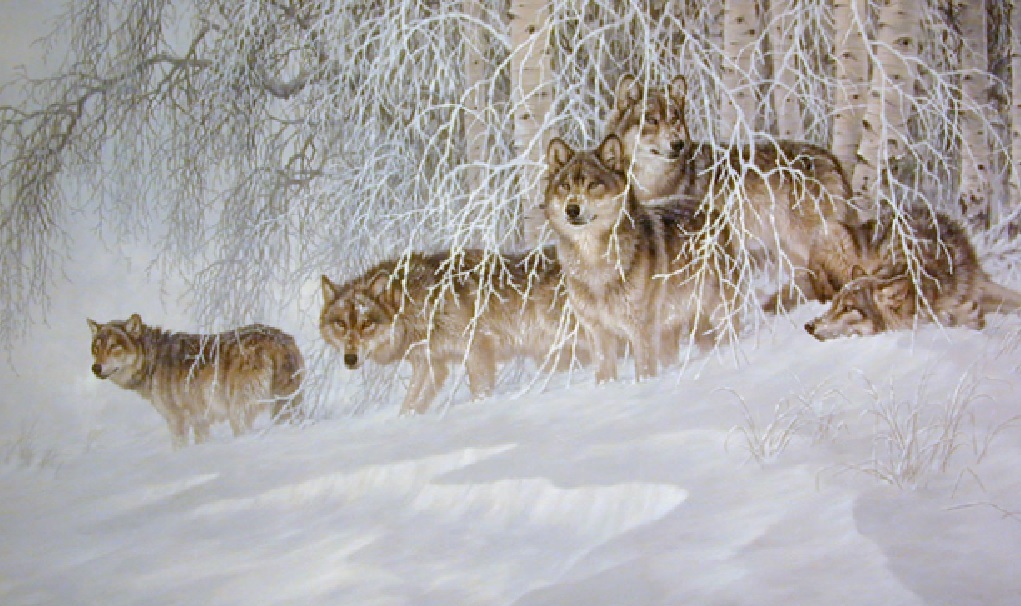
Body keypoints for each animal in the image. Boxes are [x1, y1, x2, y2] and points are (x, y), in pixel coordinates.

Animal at [88, 314, 304, 448]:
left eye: (114, 347)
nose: (95, 368)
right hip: (288, 405)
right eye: (96, 348)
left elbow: (179, 447)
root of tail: (279, 341)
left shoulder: (177, 419)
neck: (153, 362)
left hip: (239, 413)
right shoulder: (200, 420)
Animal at [320, 249, 579, 415]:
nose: (349, 358)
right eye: (341, 324)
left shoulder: (477, 350)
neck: (419, 305)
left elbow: (479, 391)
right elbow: (410, 403)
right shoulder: (431, 363)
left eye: (366, 324)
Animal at [544, 133, 738, 384]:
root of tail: (708, 207)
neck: (595, 264)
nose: (572, 209)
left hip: (719, 308)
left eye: (593, 185)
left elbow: (644, 369)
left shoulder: (641, 327)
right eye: (565, 186)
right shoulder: (597, 332)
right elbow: (604, 373)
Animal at [804, 209, 1021, 340]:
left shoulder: (979, 284)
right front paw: (963, 316)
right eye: (835, 305)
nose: (808, 326)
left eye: (848, 308)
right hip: (833, 231)